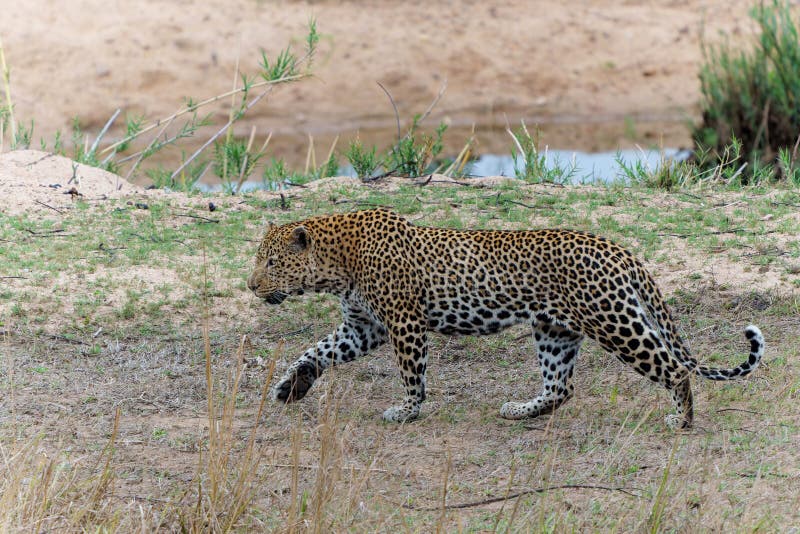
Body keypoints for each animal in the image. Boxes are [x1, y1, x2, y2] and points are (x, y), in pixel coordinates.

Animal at [247, 208, 765, 429]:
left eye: (271, 262)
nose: (251, 286)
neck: (337, 262)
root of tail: (620, 250)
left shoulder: (403, 324)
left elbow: (412, 375)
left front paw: (407, 411)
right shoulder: (363, 326)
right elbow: (316, 351)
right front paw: (291, 386)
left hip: (613, 320)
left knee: (674, 368)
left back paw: (682, 420)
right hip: (555, 329)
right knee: (561, 388)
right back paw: (519, 410)